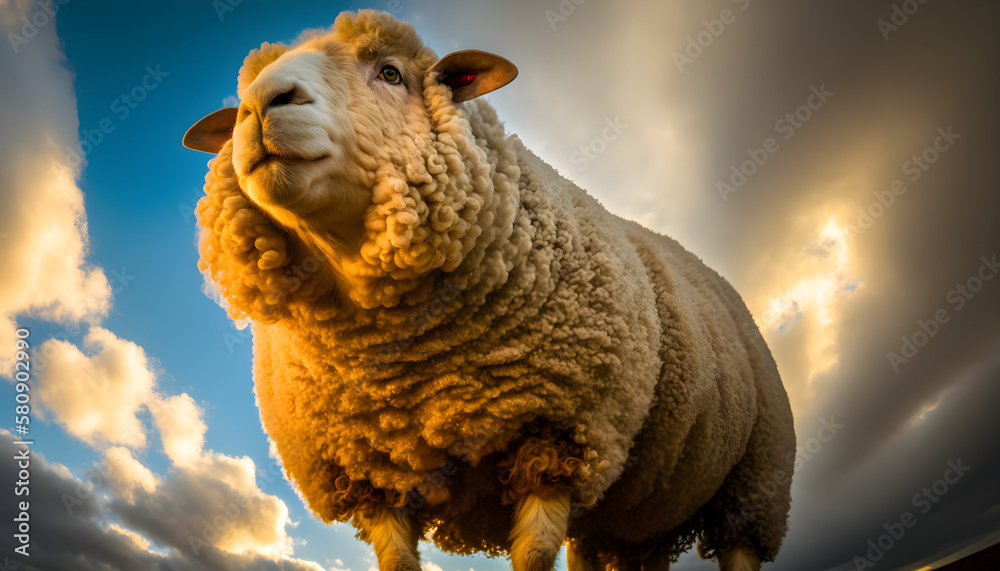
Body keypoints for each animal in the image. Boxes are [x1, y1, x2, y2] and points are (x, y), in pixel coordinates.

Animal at [183, 10, 795, 571]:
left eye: (390, 72)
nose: (261, 104)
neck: (404, 369)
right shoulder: (373, 474)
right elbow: (398, 562)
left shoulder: (557, 438)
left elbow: (534, 555)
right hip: (626, 515)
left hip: (753, 487)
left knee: (739, 545)